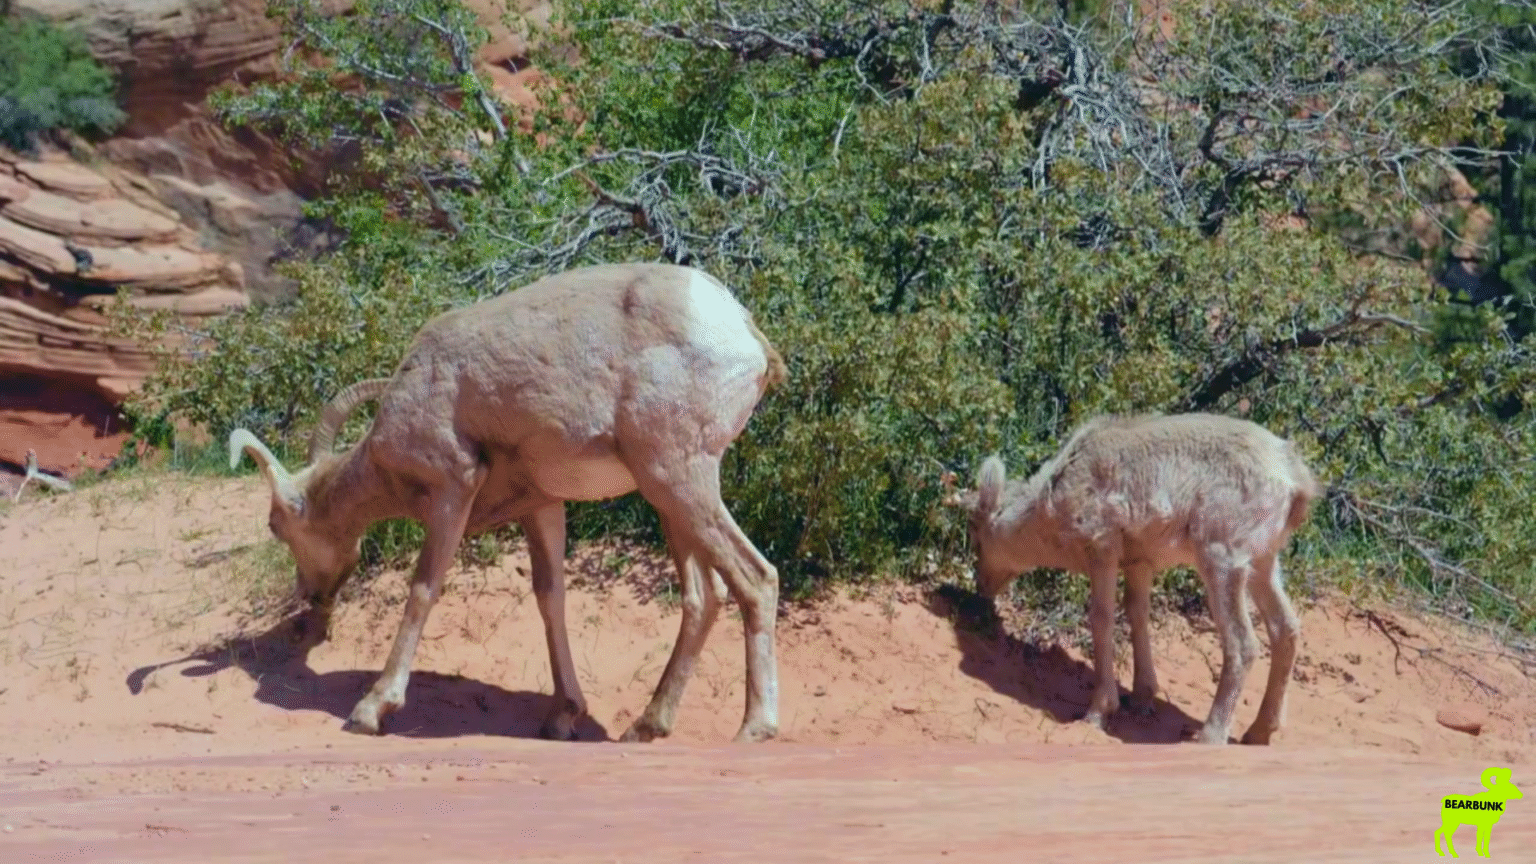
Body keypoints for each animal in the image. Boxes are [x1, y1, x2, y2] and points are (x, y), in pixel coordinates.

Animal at [227, 262, 787, 744]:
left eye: (277, 526)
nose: (309, 597)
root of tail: (743, 331)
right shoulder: (542, 507)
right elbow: (550, 598)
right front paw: (561, 717)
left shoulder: (452, 490)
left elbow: (423, 589)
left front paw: (370, 709)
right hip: (669, 497)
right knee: (704, 596)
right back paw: (646, 726)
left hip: (678, 478)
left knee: (756, 578)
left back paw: (754, 729)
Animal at [943, 411, 1322, 745]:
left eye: (975, 532)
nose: (981, 585)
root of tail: (1297, 481)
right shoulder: (1140, 560)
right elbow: (1137, 613)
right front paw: (1142, 698)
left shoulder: (1102, 543)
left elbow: (1101, 617)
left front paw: (1098, 712)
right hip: (1263, 563)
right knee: (1286, 629)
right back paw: (1258, 732)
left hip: (1222, 559)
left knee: (1243, 644)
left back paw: (1210, 736)